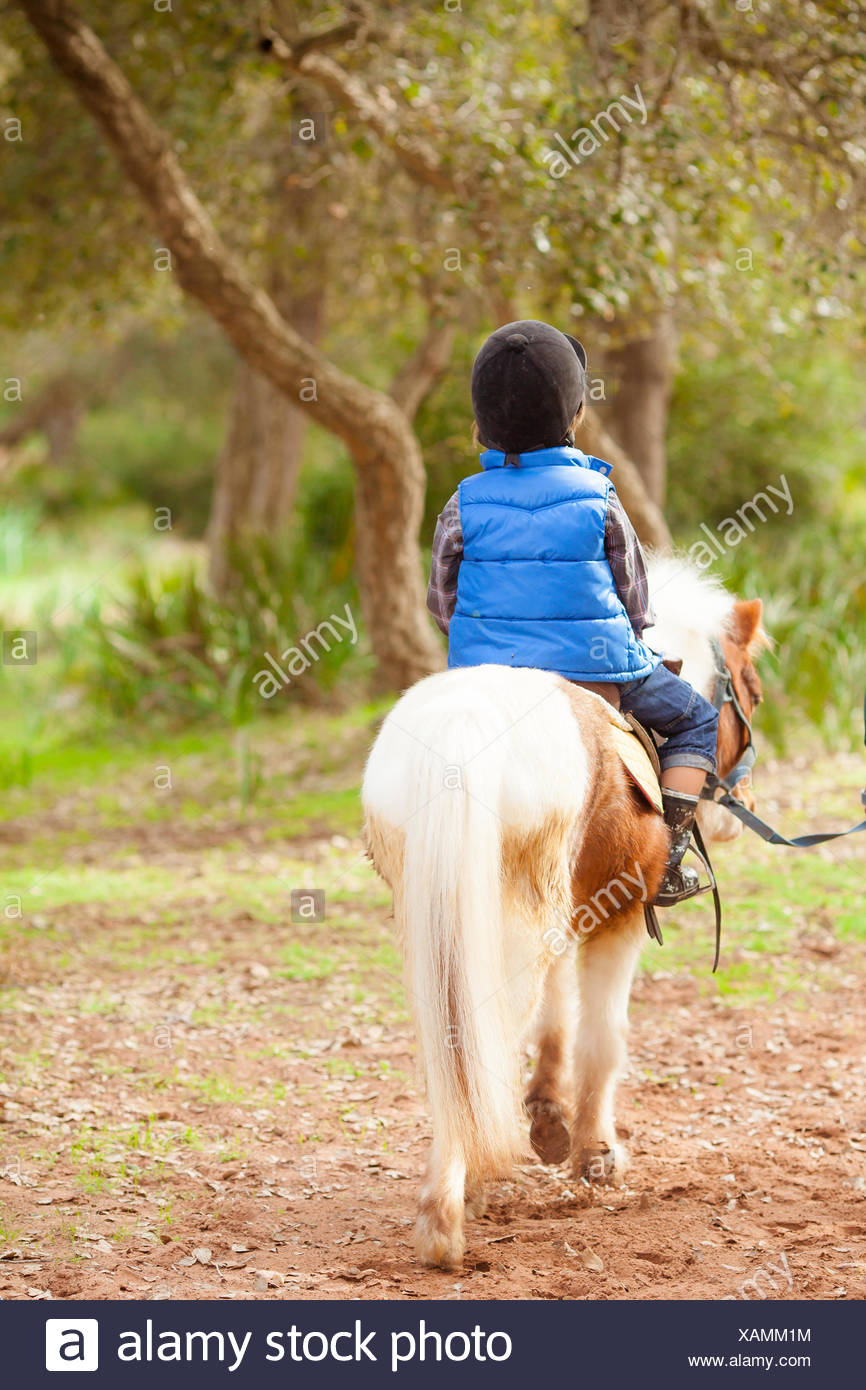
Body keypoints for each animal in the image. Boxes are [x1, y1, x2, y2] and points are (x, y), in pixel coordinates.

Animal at [361, 560, 769, 1269]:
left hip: (443, 921)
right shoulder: (622, 916)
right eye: (749, 690)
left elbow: (555, 1018)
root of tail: (465, 724)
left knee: (454, 1039)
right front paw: (595, 1153)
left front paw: (547, 1114)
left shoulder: (567, 907)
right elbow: (602, 1036)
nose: (735, 809)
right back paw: (452, 1207)